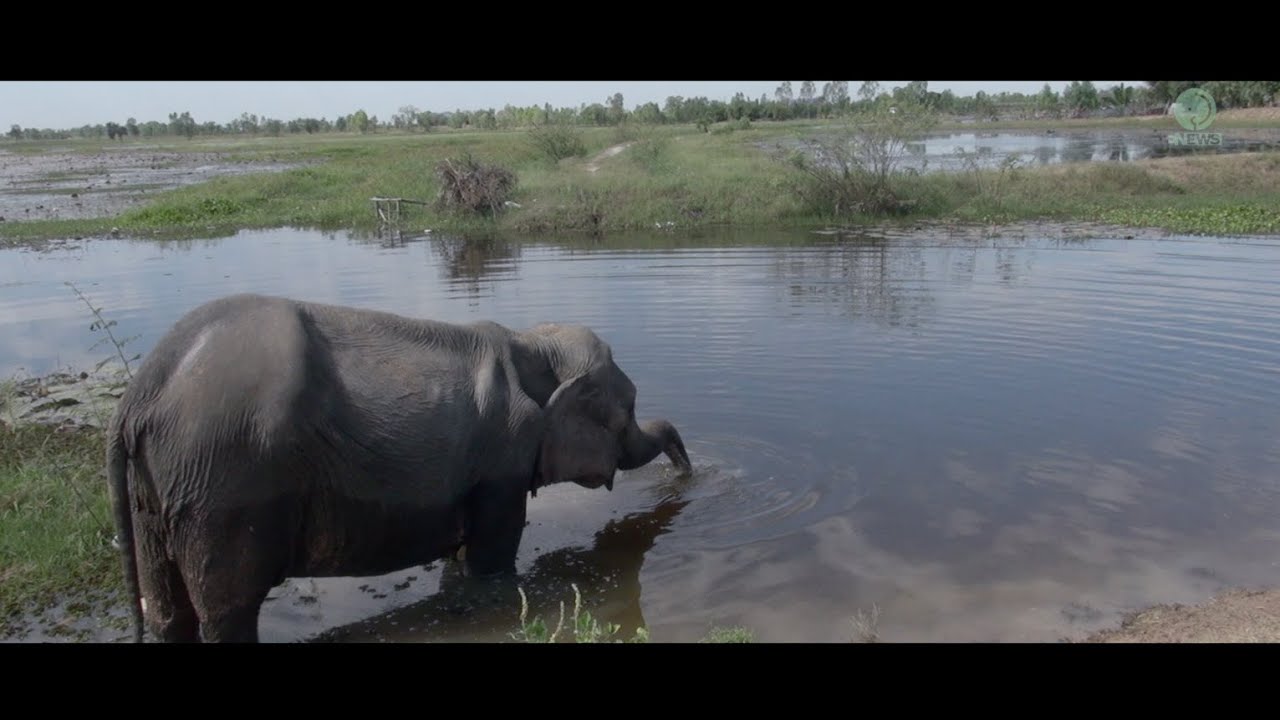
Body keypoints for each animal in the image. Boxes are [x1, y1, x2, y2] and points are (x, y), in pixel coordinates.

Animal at [106, 293, 692, 643]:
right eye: (627, 412)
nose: (688, 475)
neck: (531, 344)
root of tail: (140, 393)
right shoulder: (502, 460)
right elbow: (491, 557)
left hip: (160, 489)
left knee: (168, 610)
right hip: (222, 485)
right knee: (226, 609)